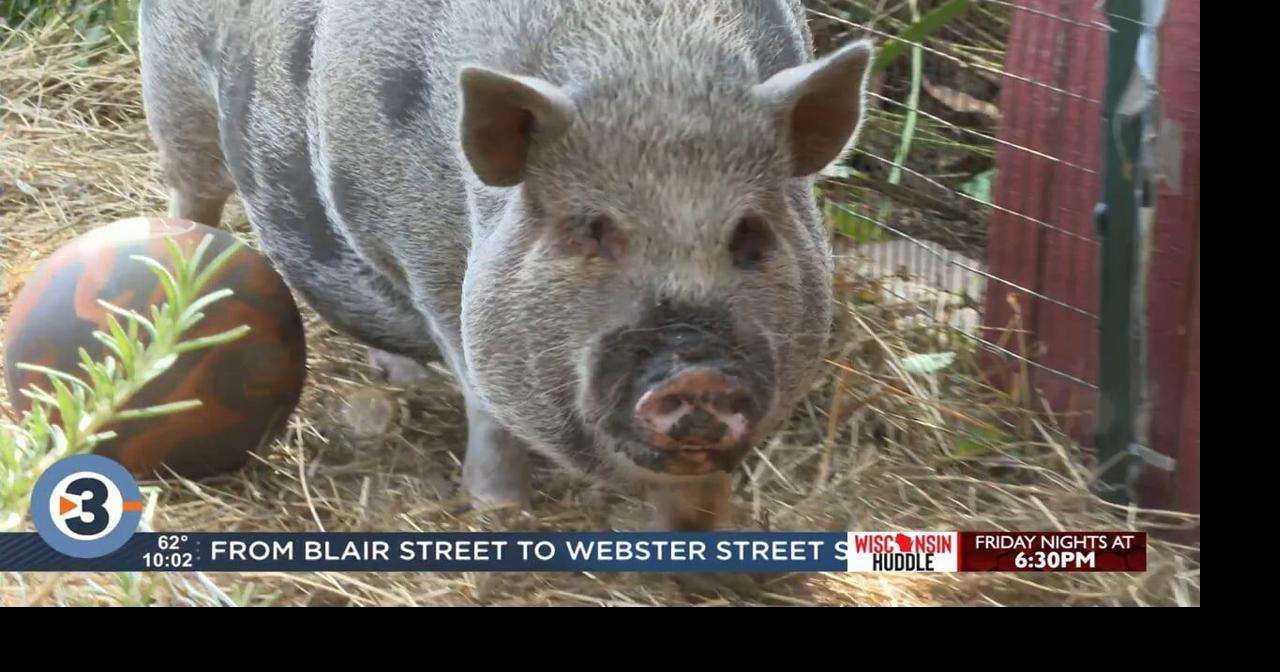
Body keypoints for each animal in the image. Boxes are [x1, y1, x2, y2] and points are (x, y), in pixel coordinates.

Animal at [137, 0, 874, 530]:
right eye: (591, 229)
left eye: (750, 233)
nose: (698, 371)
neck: (653, 61)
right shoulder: (428, 264)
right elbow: (483, 397)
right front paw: (499, 510)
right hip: (174, 93)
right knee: (193, 192)